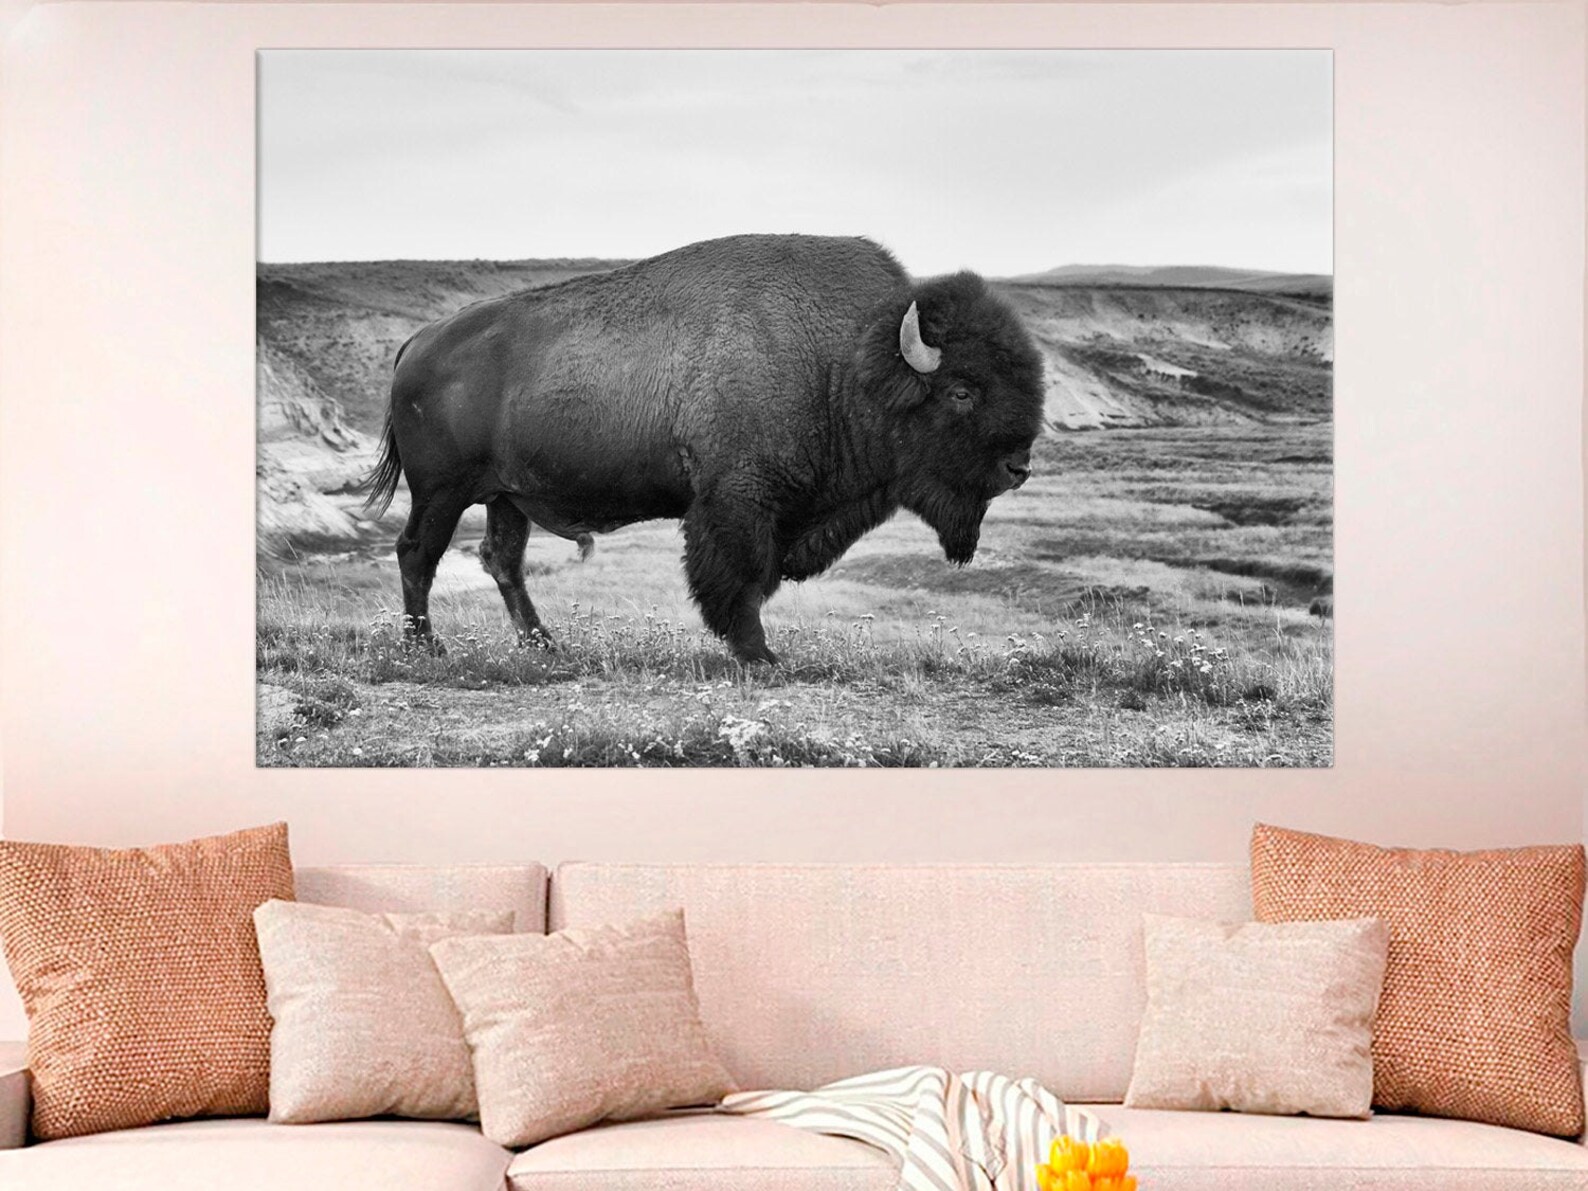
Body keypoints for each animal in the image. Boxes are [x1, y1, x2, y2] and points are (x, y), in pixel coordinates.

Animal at [363, 234, 1046, 663]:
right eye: (961, 390)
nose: (1018, 467)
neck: (847, 361)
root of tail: (418, 342)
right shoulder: (736, 501)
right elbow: (740, 579)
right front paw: (759, 654)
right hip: (442, 492)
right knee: (417, 552)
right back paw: (426, 648)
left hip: (507, 496)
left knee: (502, 560)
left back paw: (543, 645)